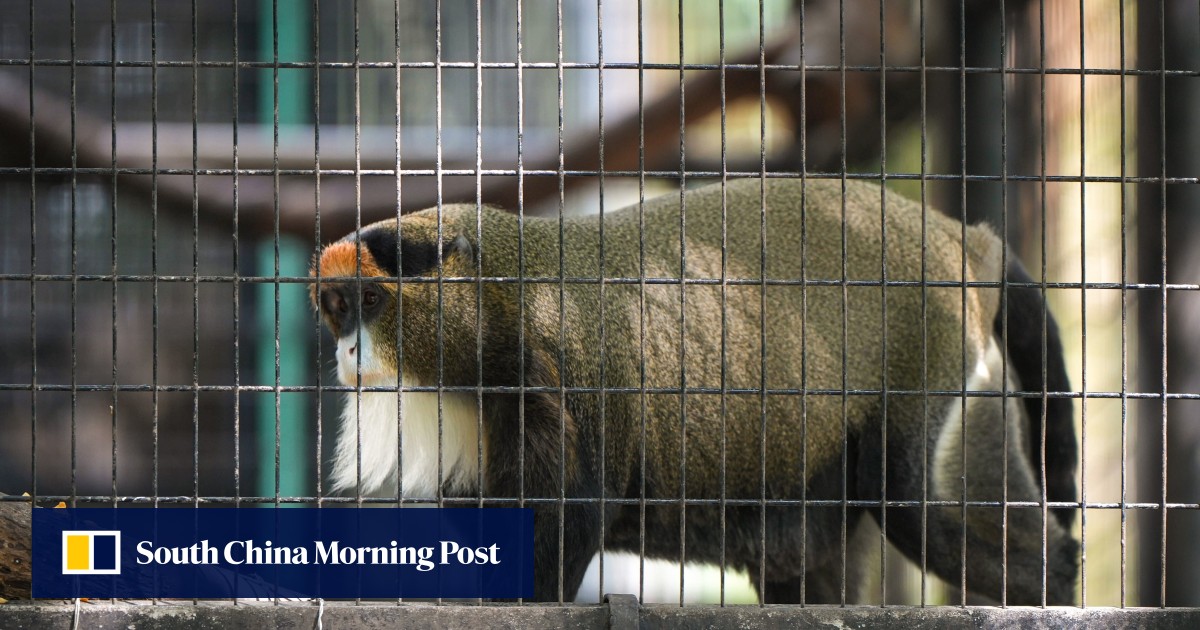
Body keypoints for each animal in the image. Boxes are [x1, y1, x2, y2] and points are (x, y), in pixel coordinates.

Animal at [310, 177, 1078, 604]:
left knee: (922, 508)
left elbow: (571, 514)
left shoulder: (563, 374)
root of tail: (963, 240)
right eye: (337, 307)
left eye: (372, 301)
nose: (348, 352)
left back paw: (1057, 580)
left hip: (937, 367)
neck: (499, 302)